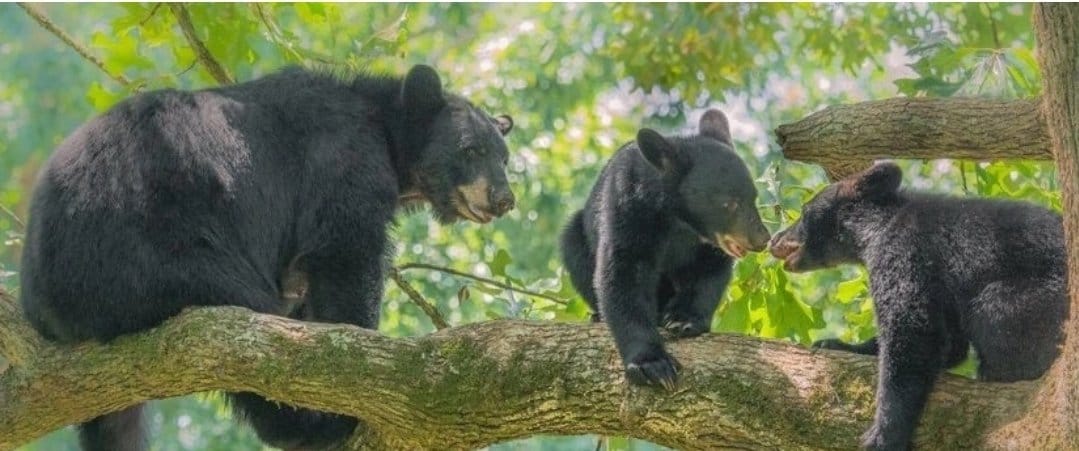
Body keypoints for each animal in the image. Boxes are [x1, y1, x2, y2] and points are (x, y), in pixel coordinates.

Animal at [19, 64, 515, 451]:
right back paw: (310, 424)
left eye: (505, 158)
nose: (503, 198)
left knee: (115, 419)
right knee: (244, 329)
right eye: (471, 149)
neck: (386, 132)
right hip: (152, 250)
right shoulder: (342, 159)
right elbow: (344, 253)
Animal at [560, 109, 771, 389]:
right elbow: (623, 273)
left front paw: (683, 320)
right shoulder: (629, 208)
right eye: (729, 203)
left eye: (753, 197)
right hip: (577, 233)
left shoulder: (706, 246)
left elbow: (707, 274)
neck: (679, 222)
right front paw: (653, 365)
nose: (762, 239)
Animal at [768, 162, 1067, 450]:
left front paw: (884, 434)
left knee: (994, 312)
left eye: (804, 212)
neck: (874, 230)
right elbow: (948, 341)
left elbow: (911, 331)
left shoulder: (904, 253)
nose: (774, 239)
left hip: (1040, 297)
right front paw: (838, 344)